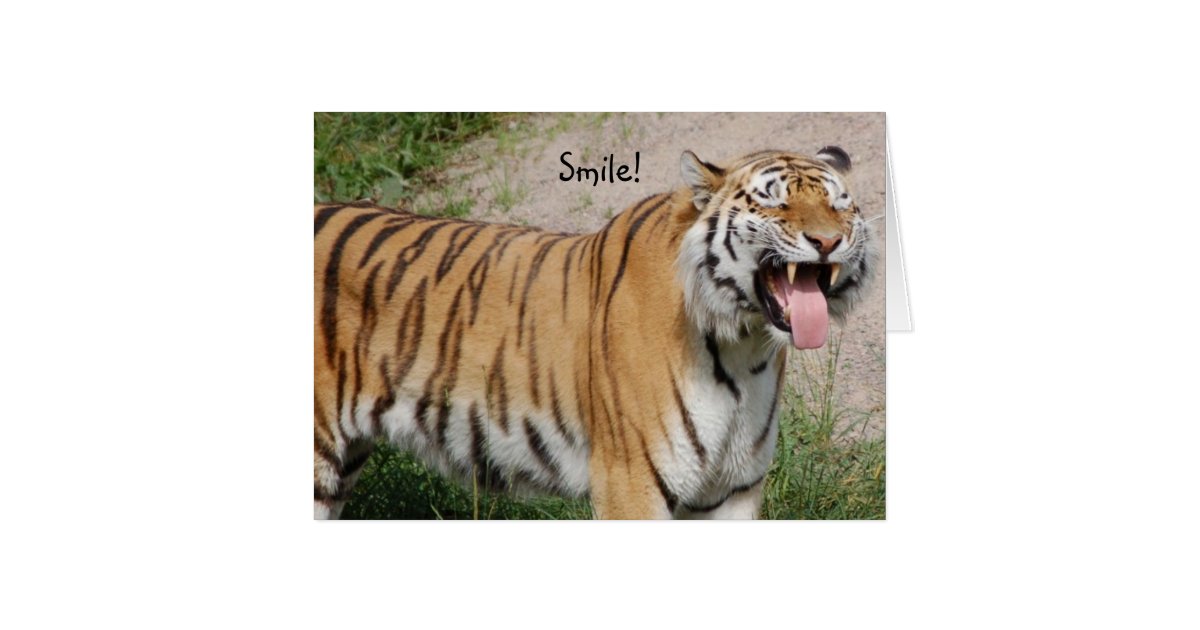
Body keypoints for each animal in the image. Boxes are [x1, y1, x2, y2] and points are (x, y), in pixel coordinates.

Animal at [314, 147, 874, 519]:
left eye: (839, 204)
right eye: (774, 203)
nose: (828, 241)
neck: (744, 346)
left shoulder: (732, 490)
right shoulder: (630, 482)